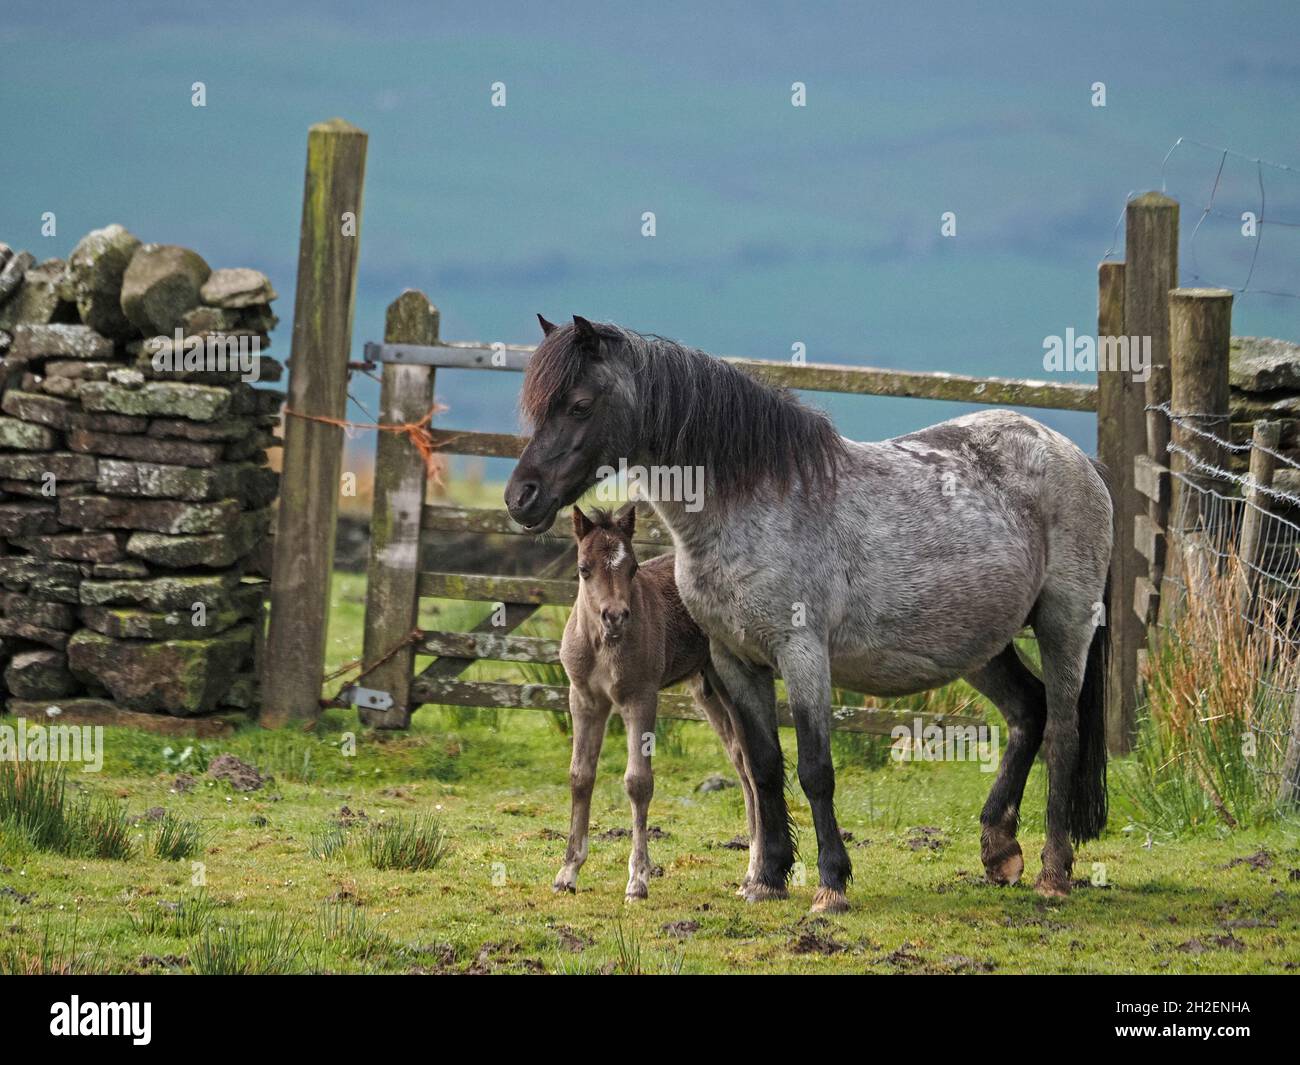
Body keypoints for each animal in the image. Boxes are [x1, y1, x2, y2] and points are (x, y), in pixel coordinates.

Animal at [555, 504, 760, 901]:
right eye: (584, 569)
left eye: (633, 567)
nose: (615, 616)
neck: (603, 646)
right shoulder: (584, 699)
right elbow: (580, 776)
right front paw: (567, 872)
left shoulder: (641, 698)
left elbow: (638, 782)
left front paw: (638, 880)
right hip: (708, 690)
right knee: (742, 762)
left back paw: (757, 872)